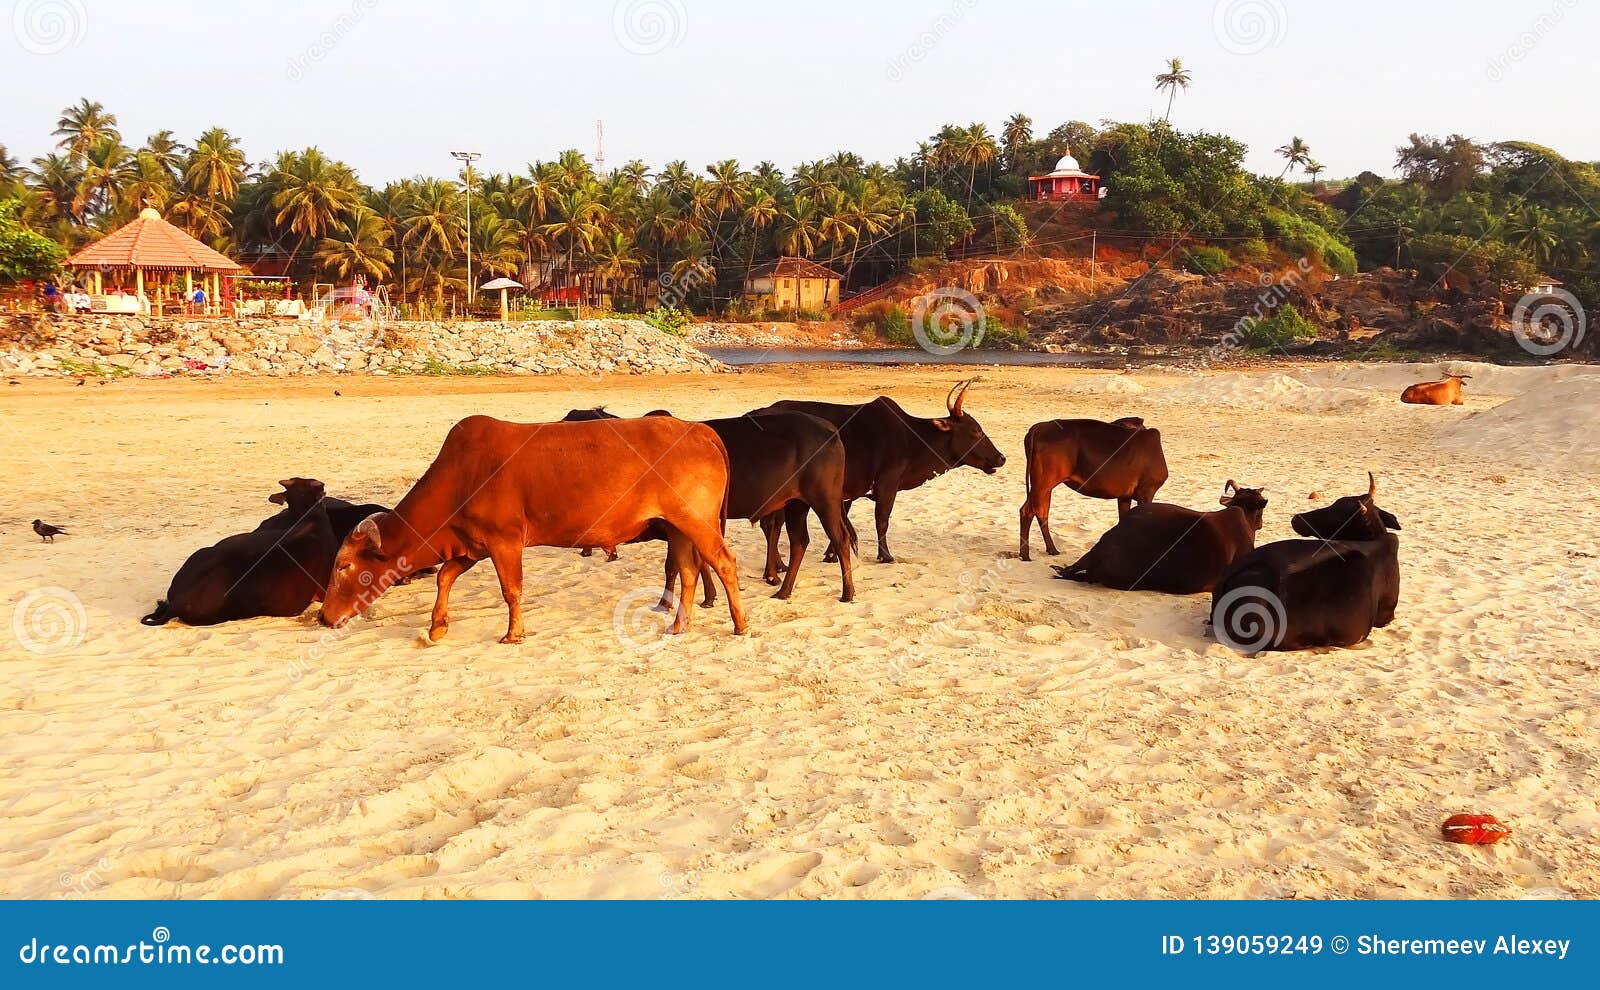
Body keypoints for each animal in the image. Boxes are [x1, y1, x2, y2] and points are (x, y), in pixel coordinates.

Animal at [317, 415, 746, 644]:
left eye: (343, 567)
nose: (322, 617)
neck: (460, 478)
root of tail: (699, 429)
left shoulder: (504, 541)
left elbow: (511, 590)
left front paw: (513, 633)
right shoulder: (472, 545)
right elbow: (444, 577)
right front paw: (437, 626)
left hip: (696, 522)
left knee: (723, 562)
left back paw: (740, 623)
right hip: (678, 527)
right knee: (689, 571)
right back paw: (678, 625)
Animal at [756, 379, 1006, 564]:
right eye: (975, 431)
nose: (1001, 458)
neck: (911, 438)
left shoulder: (847, 493)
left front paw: (831, 554)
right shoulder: (887, 486)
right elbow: (882, 520)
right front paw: (885, 555)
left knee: (770, 525)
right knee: (771, 525)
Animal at [1019, 416, 1168, 561]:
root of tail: (1040, 426)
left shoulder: (1124, 496)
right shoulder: (1146, 491)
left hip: (1044, 486)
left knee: (1041, 511)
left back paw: (1050, 550)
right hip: (1043, 483)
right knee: (1029, 511)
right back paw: (1026, 555)